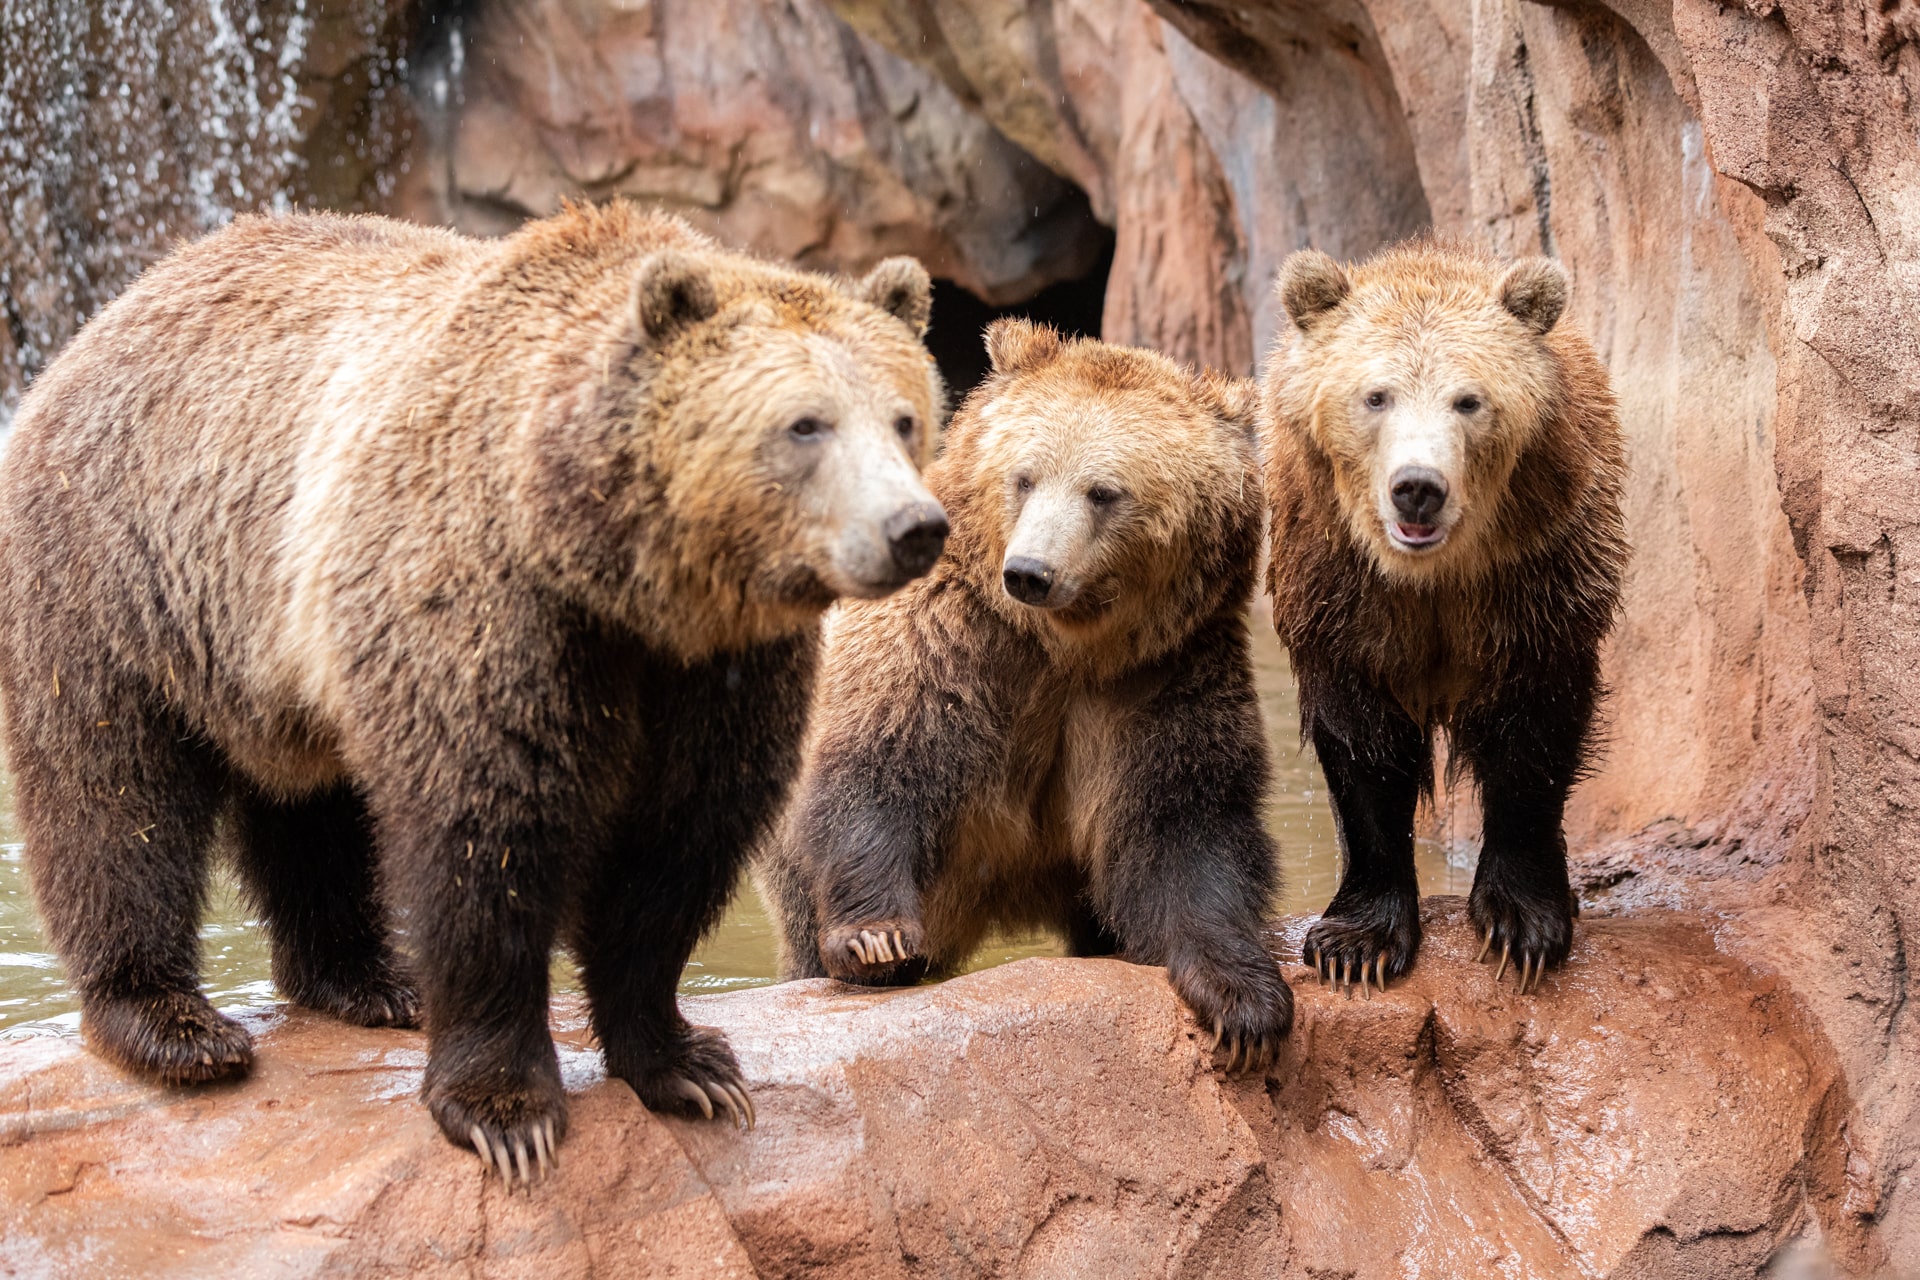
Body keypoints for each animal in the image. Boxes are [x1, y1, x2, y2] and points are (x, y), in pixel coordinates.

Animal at [0, 201, 950, 1183]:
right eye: (806, 425)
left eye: (904, 417)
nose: (913, 527)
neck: (610, 571)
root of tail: (117, 306)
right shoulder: (486, 610)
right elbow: (486, 841)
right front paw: (507, 1109)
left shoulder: (714, 672)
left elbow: (677, 844)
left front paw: (688, 1065)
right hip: (122, 572)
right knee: (113, 793)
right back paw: (173, 1023)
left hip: (280, 657)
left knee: (309, 807)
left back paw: (366, 979)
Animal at [757, 319, 1295, 1073]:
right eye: (1025, 476)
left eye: (1104, 492)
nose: (1030, 571)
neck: (1065, 646)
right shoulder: (952, 643)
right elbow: (883, 763)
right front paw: (875, 938)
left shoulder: (1163, 675)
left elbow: (1183, 825)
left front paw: (1243, 1001)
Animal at [1263, 239, 1628, 997]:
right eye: (1376, 395)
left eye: (1469, 400)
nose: (1417, 489)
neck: (1431, 577)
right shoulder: (1341, 588)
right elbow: (1364, 747)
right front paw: (1357, 943)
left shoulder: (1535, 578)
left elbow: (1533, 732)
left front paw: (1522, 924)